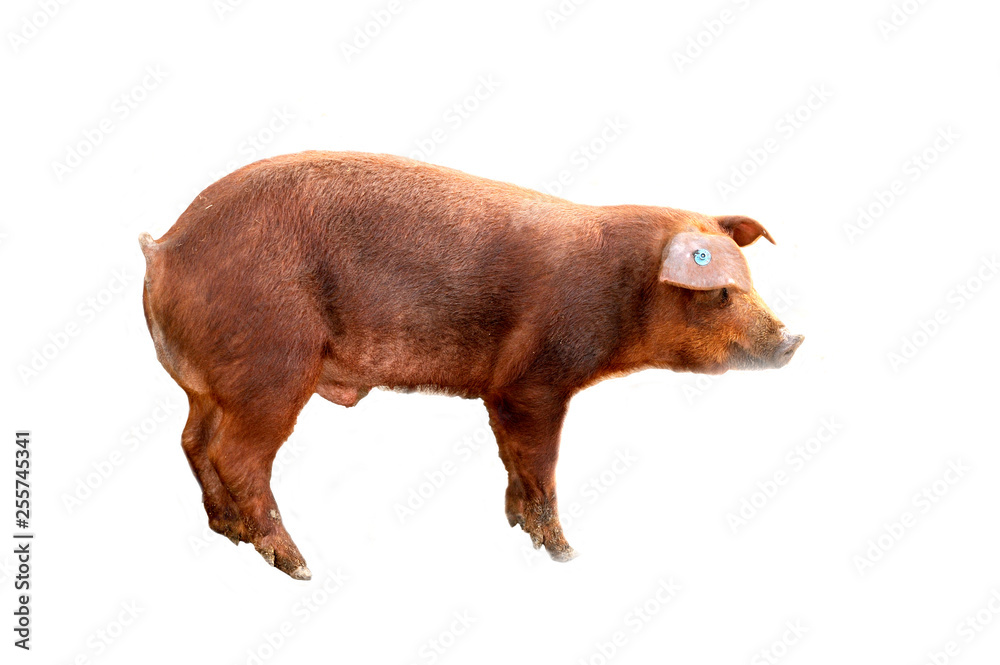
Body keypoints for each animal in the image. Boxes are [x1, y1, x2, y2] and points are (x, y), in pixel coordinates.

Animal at [140, 151, 803, 579]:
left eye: (748, 280)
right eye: (720, 292)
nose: (794, 338)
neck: (621, 293)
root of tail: (166, 248)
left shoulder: (502, 393)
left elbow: (513, 460)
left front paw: (518, 529)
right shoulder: (535, 383)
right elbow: (540, 462)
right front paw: (564, 555)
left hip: (206, 386)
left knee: (192, 440)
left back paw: (227, 532)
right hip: (273, 365)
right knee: (236, 456)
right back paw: (296, 565)